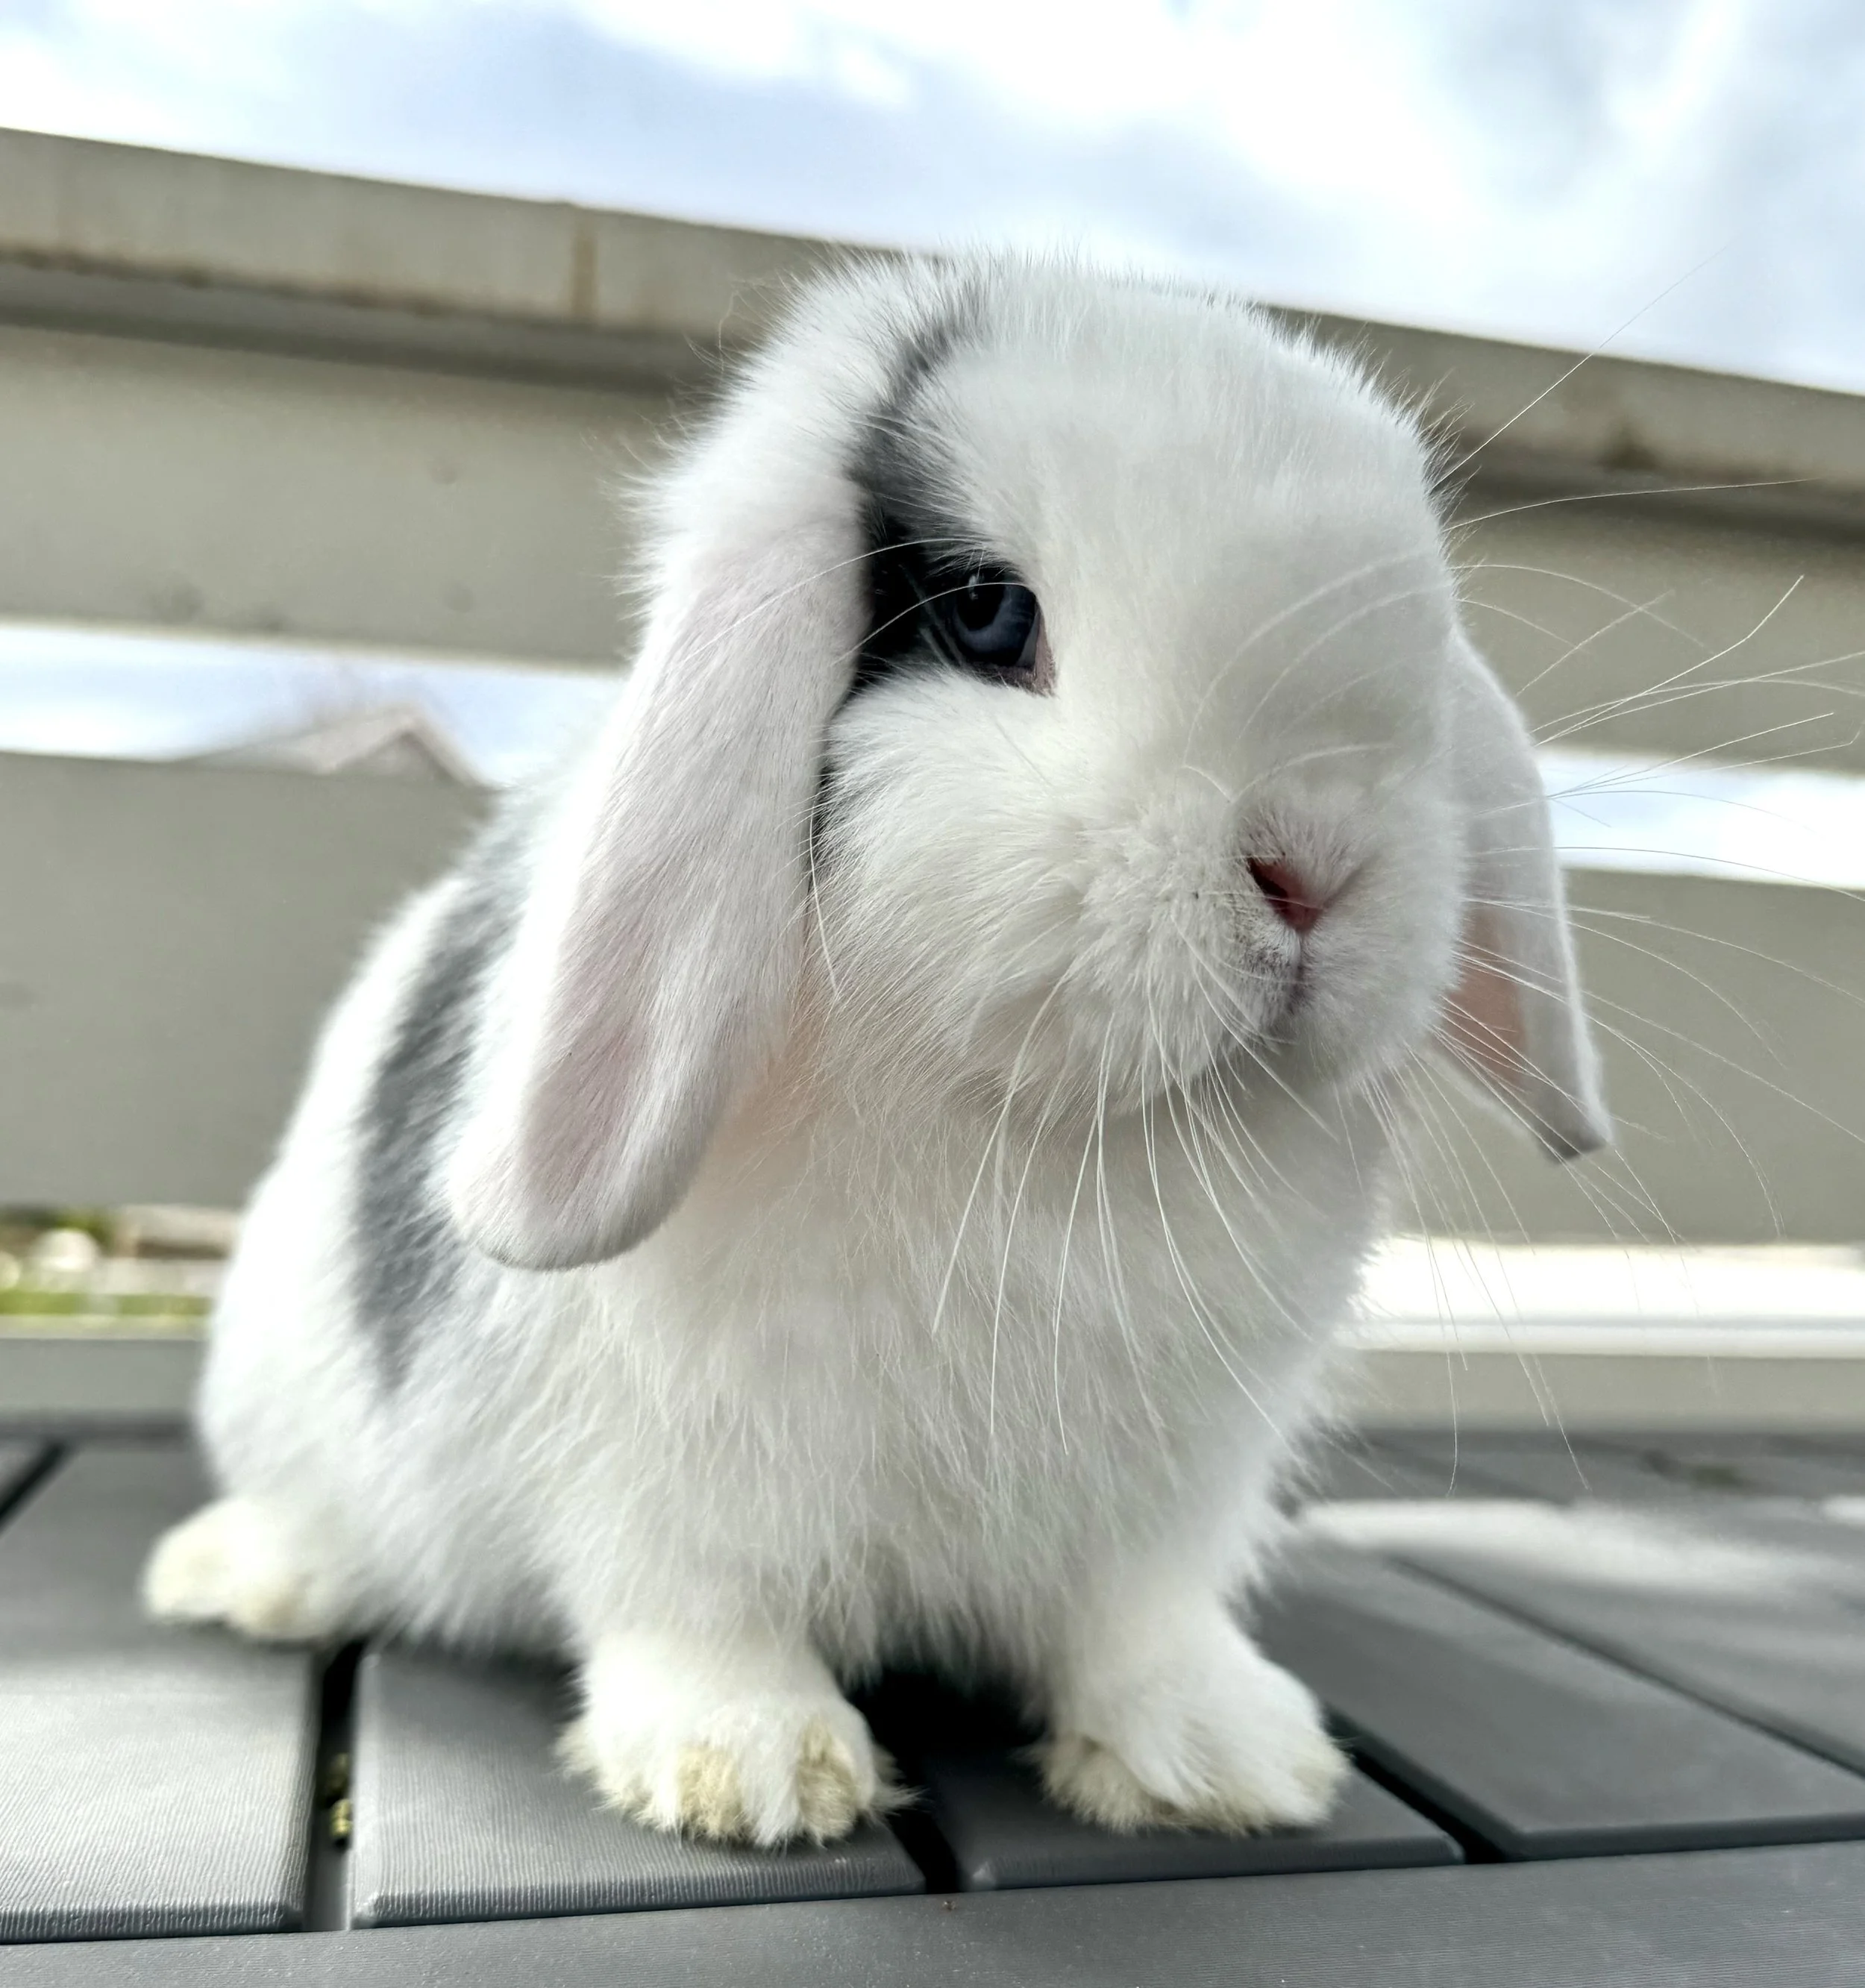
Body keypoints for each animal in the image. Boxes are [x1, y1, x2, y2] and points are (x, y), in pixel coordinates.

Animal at [143, 253, 1607, 1849]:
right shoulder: (661, 1480)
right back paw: (245, 1577)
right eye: (987, 613)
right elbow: (698, 1612)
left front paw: (1226, 1765)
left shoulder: (1169, 1507)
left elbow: (1140, 1628)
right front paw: (751, 1773)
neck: (1052, 1131)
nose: (1316, 866)